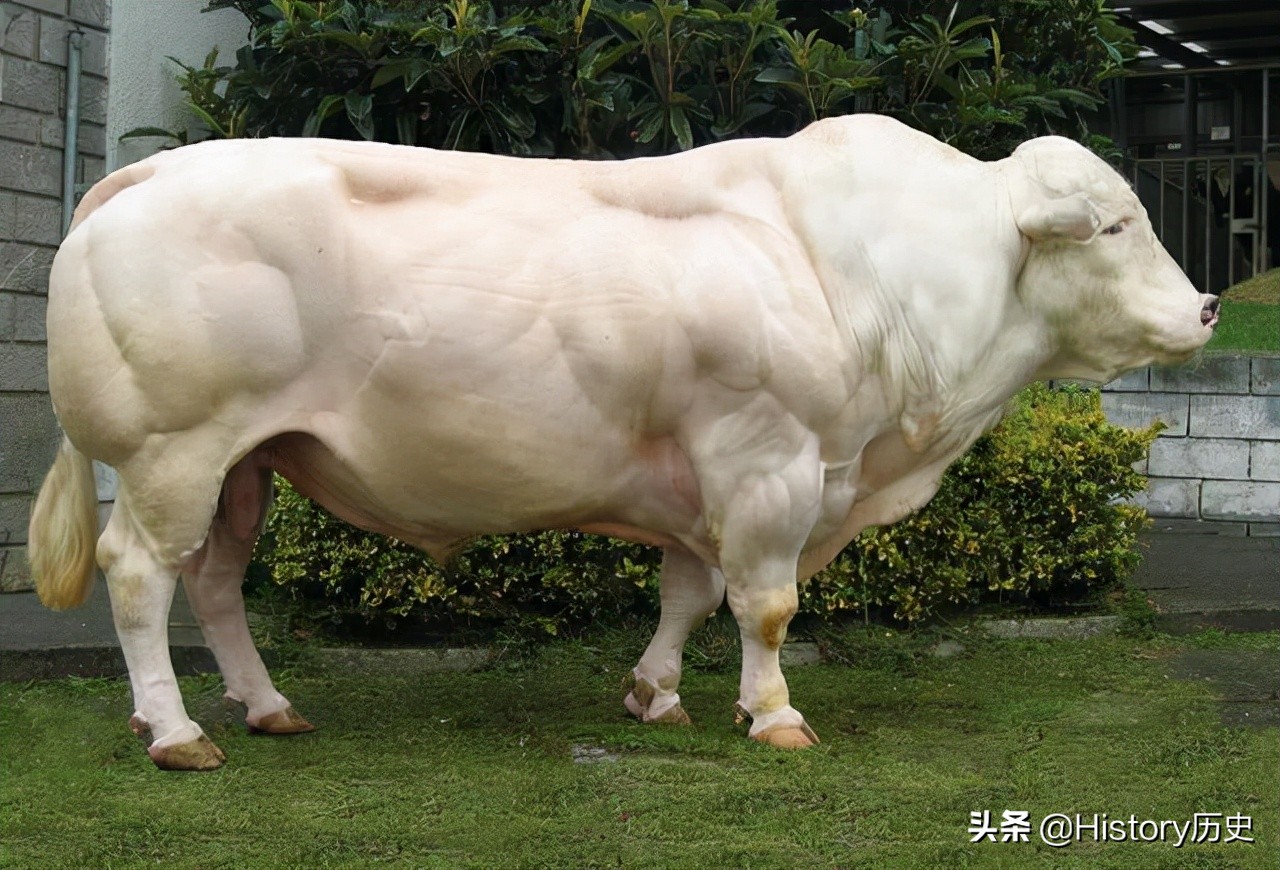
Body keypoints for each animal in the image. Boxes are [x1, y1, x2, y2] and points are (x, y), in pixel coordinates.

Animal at [28, 114, 1218, 770]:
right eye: (1115, 224)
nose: (1207, 307)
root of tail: (147, 174)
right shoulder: (769, 460)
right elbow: (765, 606)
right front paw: (772, 715)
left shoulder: (704, 476)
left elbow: (688, 594)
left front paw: (657, 695)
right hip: (174, 451)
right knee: (140, 579)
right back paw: (176, 732)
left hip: (249, 463)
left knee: (215, 582)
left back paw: (268, 707)